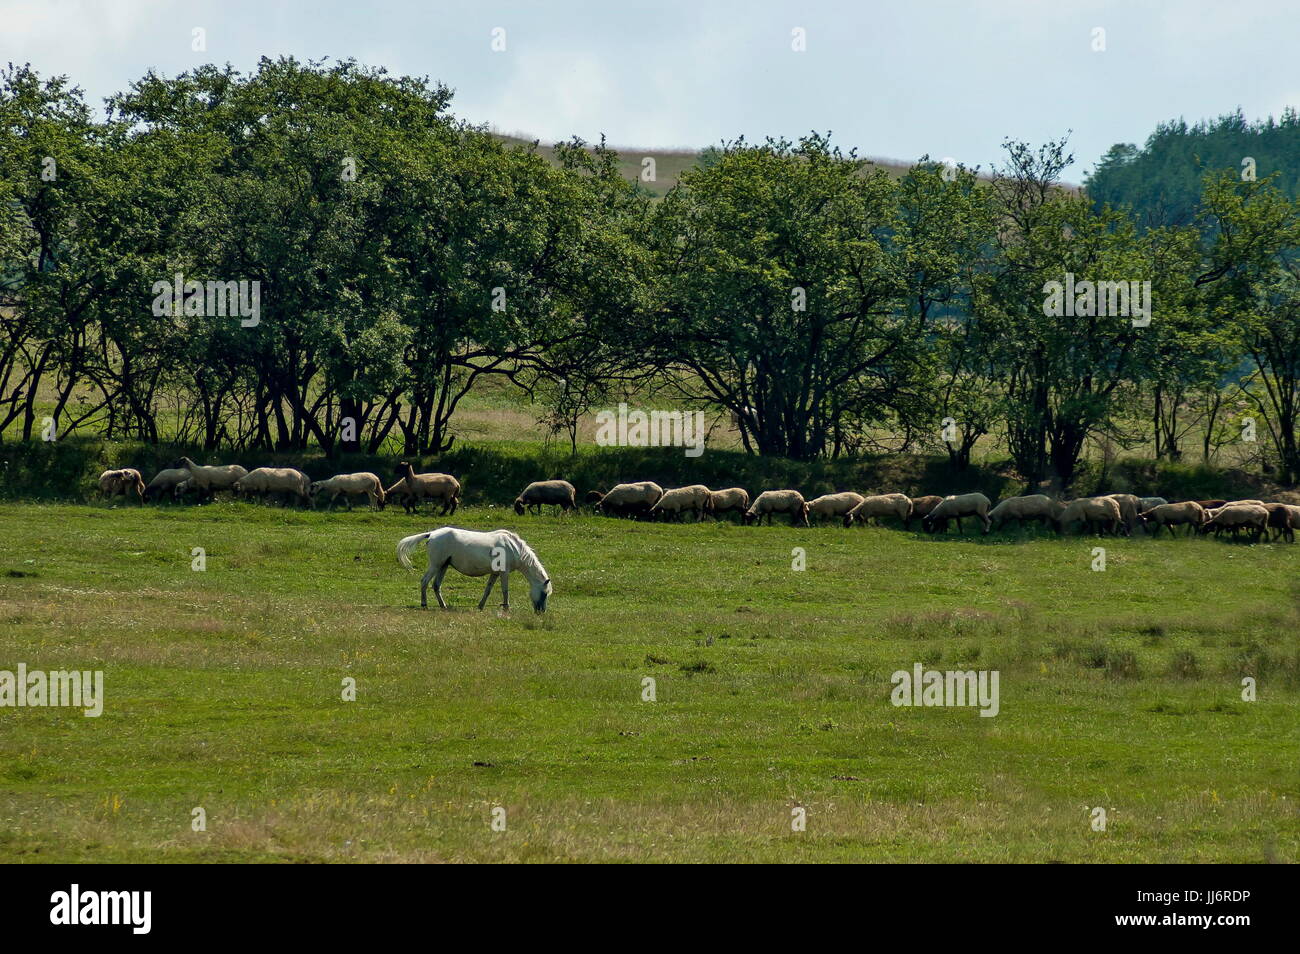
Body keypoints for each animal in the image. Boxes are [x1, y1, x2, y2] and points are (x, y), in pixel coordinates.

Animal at [396, 527, 552, 613]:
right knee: (424, 582)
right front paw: (506, 608)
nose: (541, 612)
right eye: (544, 594)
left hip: (443, 566)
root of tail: (432, 534)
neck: (513, 547)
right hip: (436, 565)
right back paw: (424, 604)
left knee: (436, 586)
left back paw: (443, 606)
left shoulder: (495, 573)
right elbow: (505, 590)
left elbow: (488, 590)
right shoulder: (504, 573)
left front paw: (481, 606)